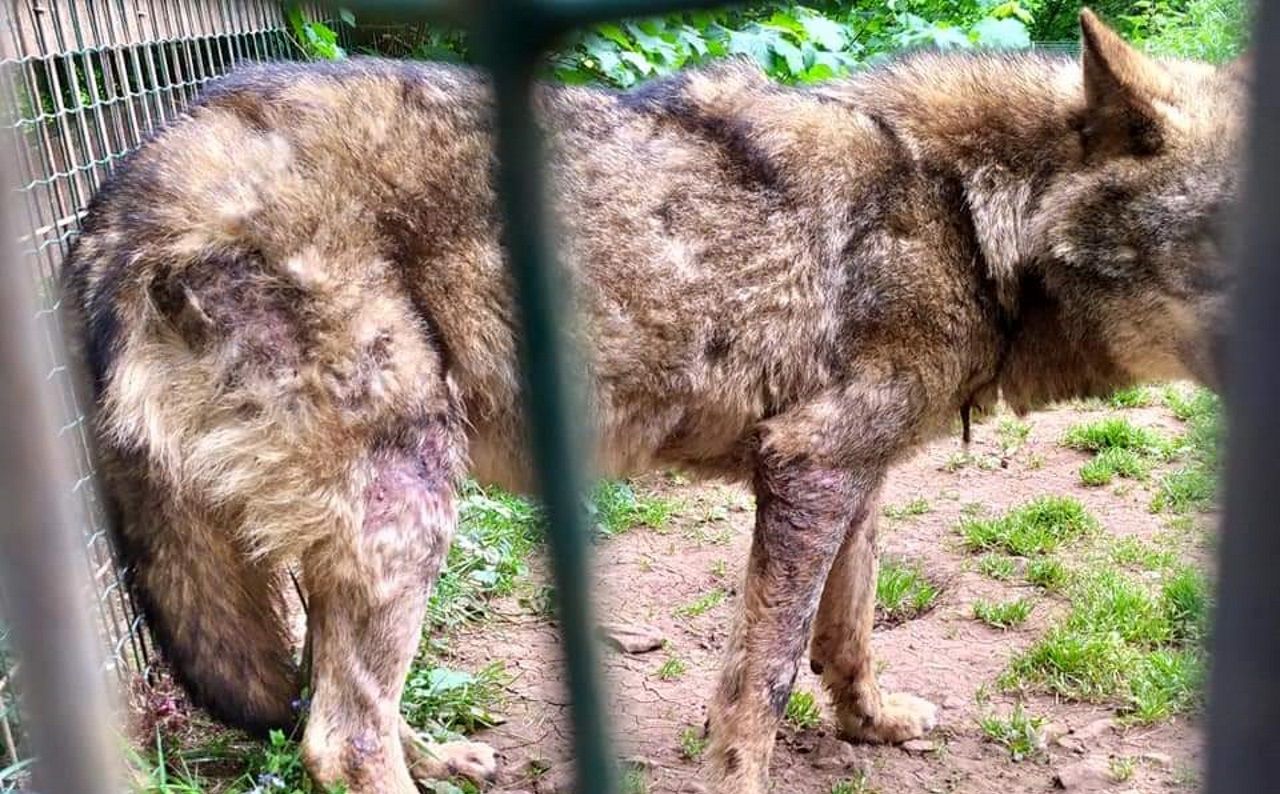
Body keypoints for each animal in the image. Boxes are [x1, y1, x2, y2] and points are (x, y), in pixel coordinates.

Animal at [62, 9, 1240, 793]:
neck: (970, 213)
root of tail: (125, 188)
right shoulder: (811, 464)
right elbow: (762, 676)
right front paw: (744, 776)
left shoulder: (852, 477)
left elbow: (847, 629)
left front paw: (870, 722)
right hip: (410, 507)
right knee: (338, 737)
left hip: (364, 532)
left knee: (340, 696)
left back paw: (447, 755)